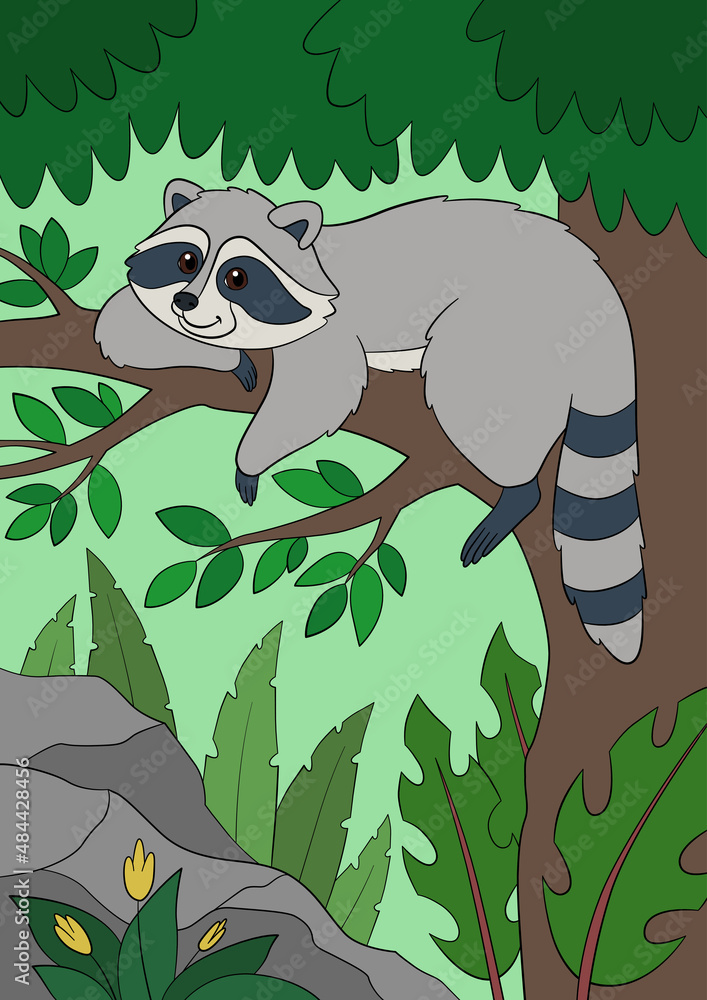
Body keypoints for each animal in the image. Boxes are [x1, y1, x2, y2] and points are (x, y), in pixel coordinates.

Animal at [94, 179, 646, 663]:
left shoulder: (329, 331)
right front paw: (224, 357)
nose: (186, 302)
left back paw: (516, 493)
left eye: (237, 277)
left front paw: (248, 459)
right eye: (186, 260)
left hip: (507, 325)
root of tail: (596, 286)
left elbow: (318, 396)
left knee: (467, 387)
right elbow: (118, 326)